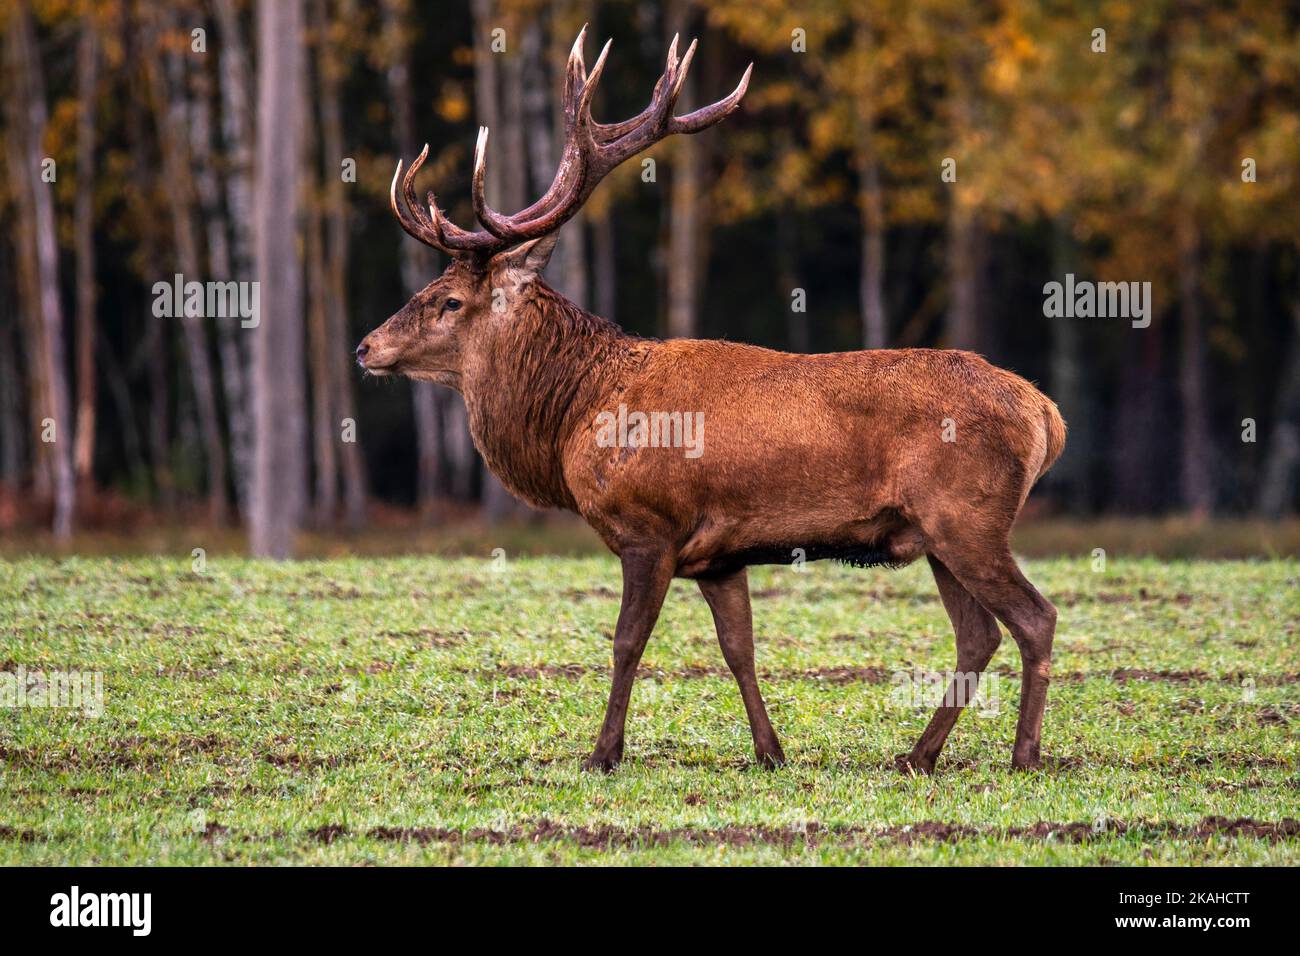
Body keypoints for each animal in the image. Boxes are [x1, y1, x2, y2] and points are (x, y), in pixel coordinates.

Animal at [357, 28, 1066, 775]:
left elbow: (626, 642)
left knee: (1034, 618)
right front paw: (770, 751)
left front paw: (603, 753)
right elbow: (739, 650)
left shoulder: (649, 526)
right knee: (978, 634)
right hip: (936, 533)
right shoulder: (720, 555)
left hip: (968, 517)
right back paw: (916, 755)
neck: (578, 414)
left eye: (447, 301)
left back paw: (1023, 756)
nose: (366, 347)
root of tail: (1047, 415)